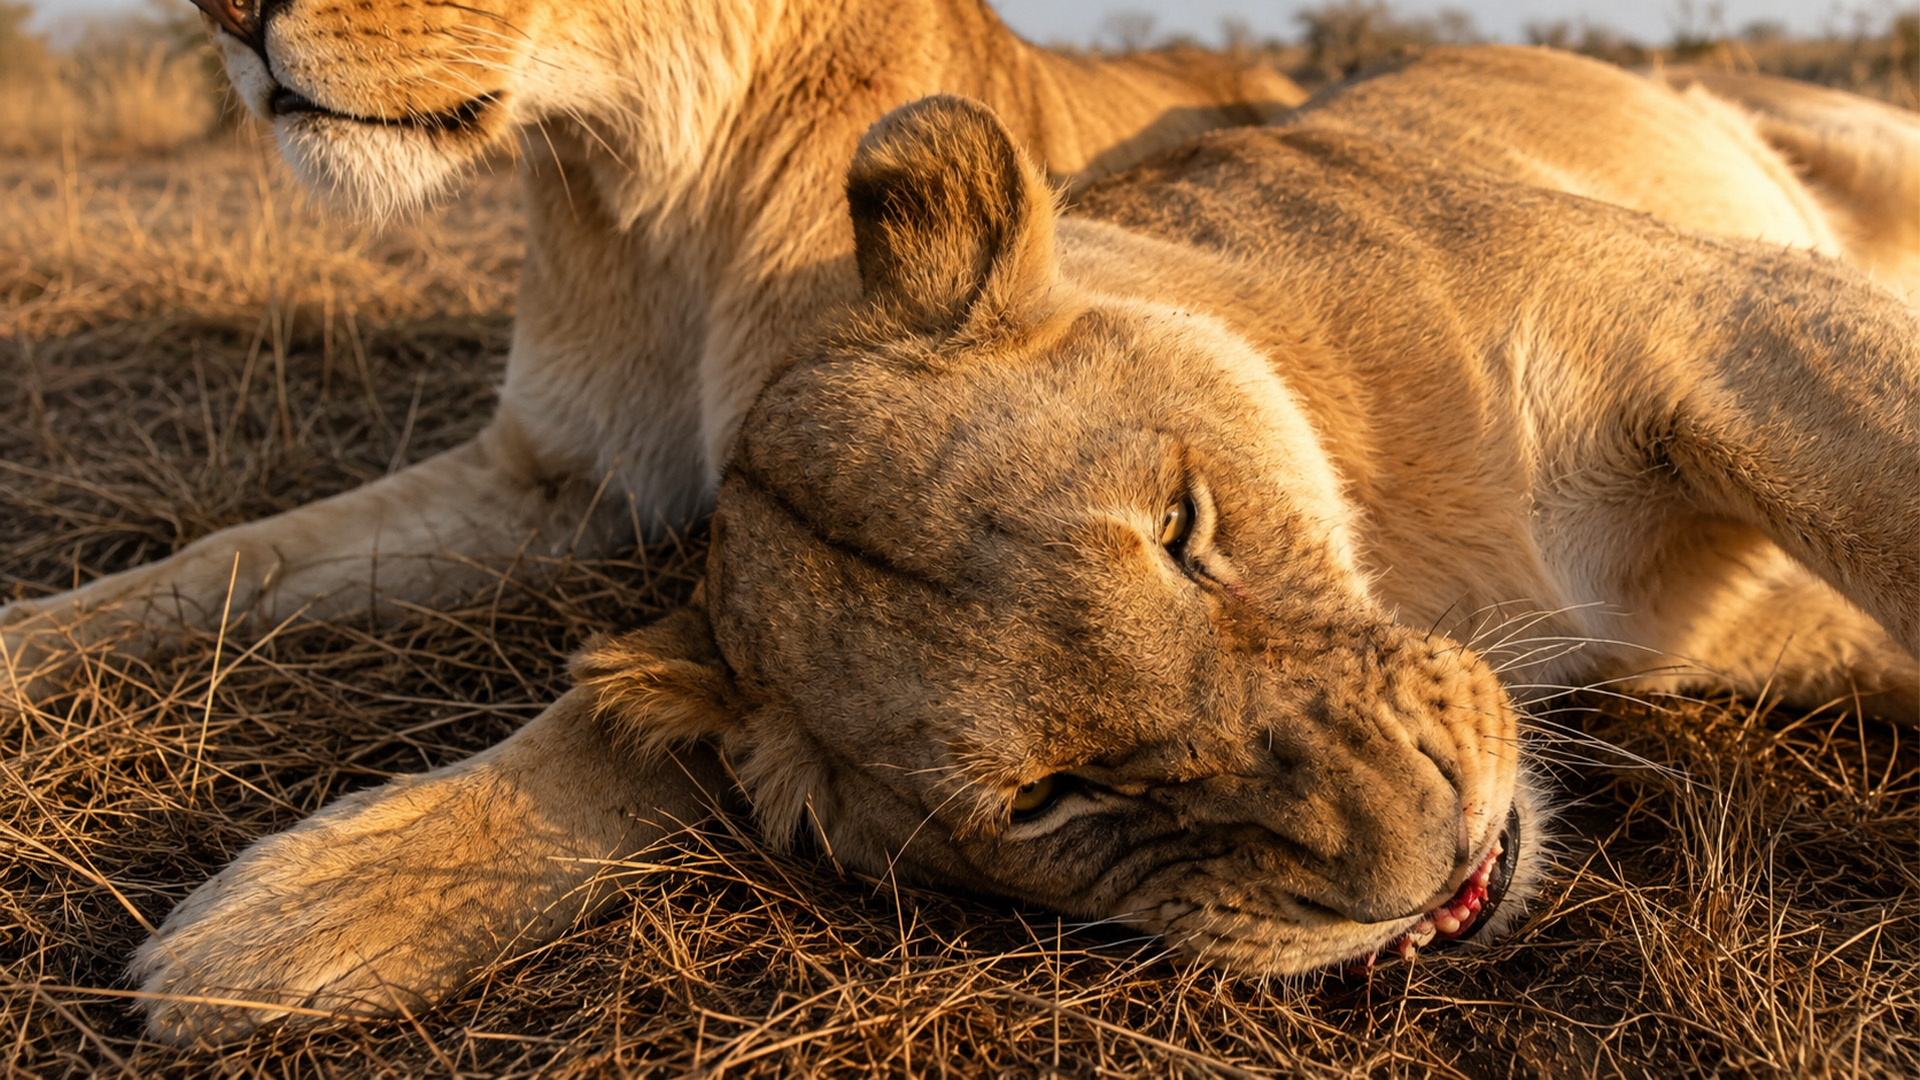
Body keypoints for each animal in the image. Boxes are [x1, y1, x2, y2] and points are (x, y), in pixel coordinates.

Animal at [122, 49, 1917, 1043]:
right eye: (1055, 800)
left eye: (1187, 527)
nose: (1436, 861)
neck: (1436, 564)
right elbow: (595, 734)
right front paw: (285, 927)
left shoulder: (1724, 320)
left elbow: (1884, 497)